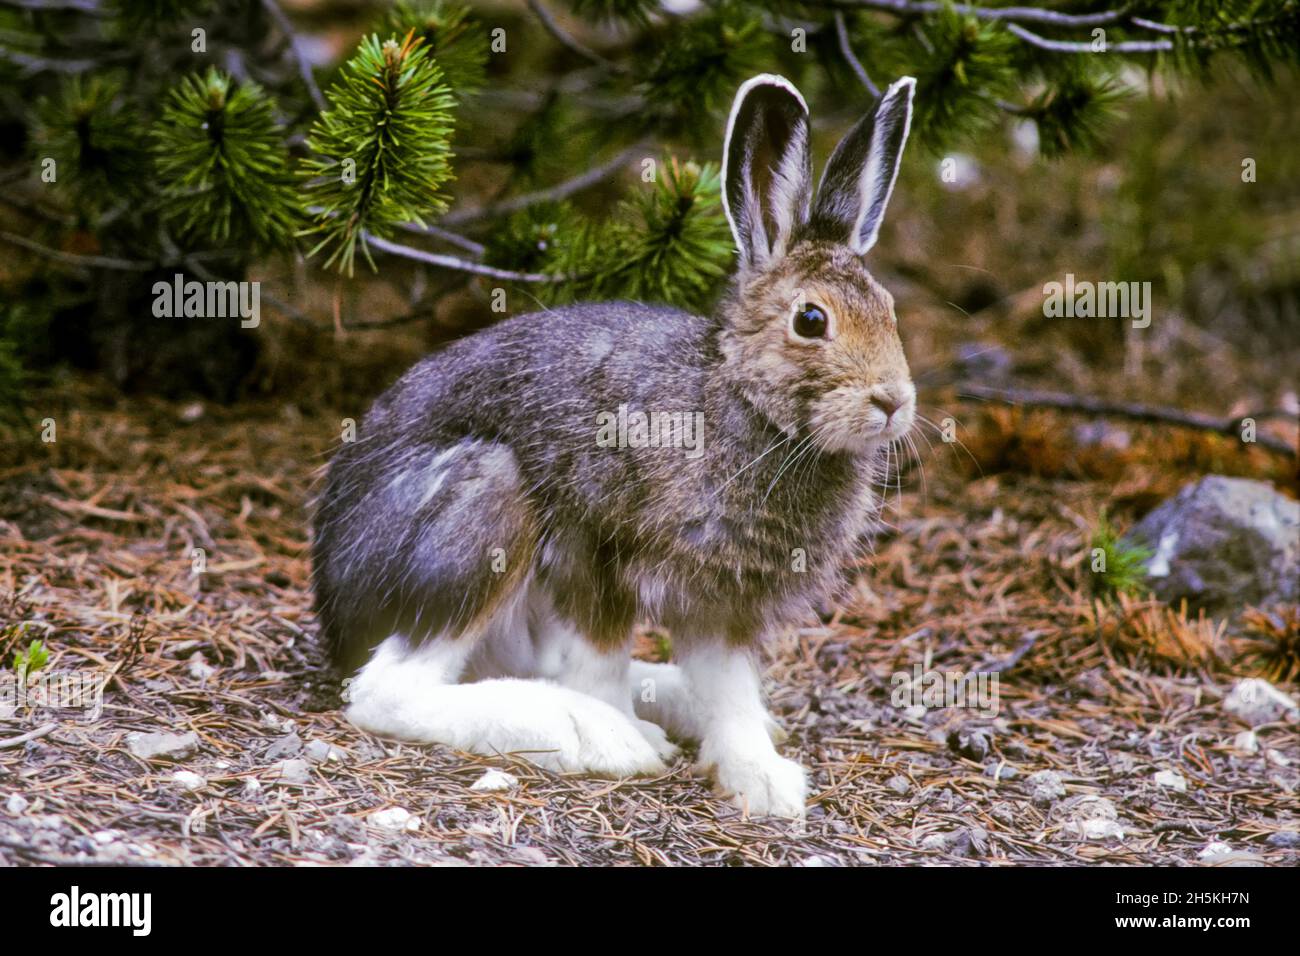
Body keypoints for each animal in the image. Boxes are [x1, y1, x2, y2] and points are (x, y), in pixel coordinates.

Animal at [311, 72, 918, 819]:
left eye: (890, 311)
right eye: (811, 320)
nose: (893, 402)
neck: (741, 402)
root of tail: (333, 601)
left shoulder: (721, 599)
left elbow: (728, 688)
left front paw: (762, 782)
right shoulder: (590, 546)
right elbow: (599, 660)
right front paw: (621, 741)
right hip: (480, 506)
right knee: (387, 691)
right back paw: (578, 728)